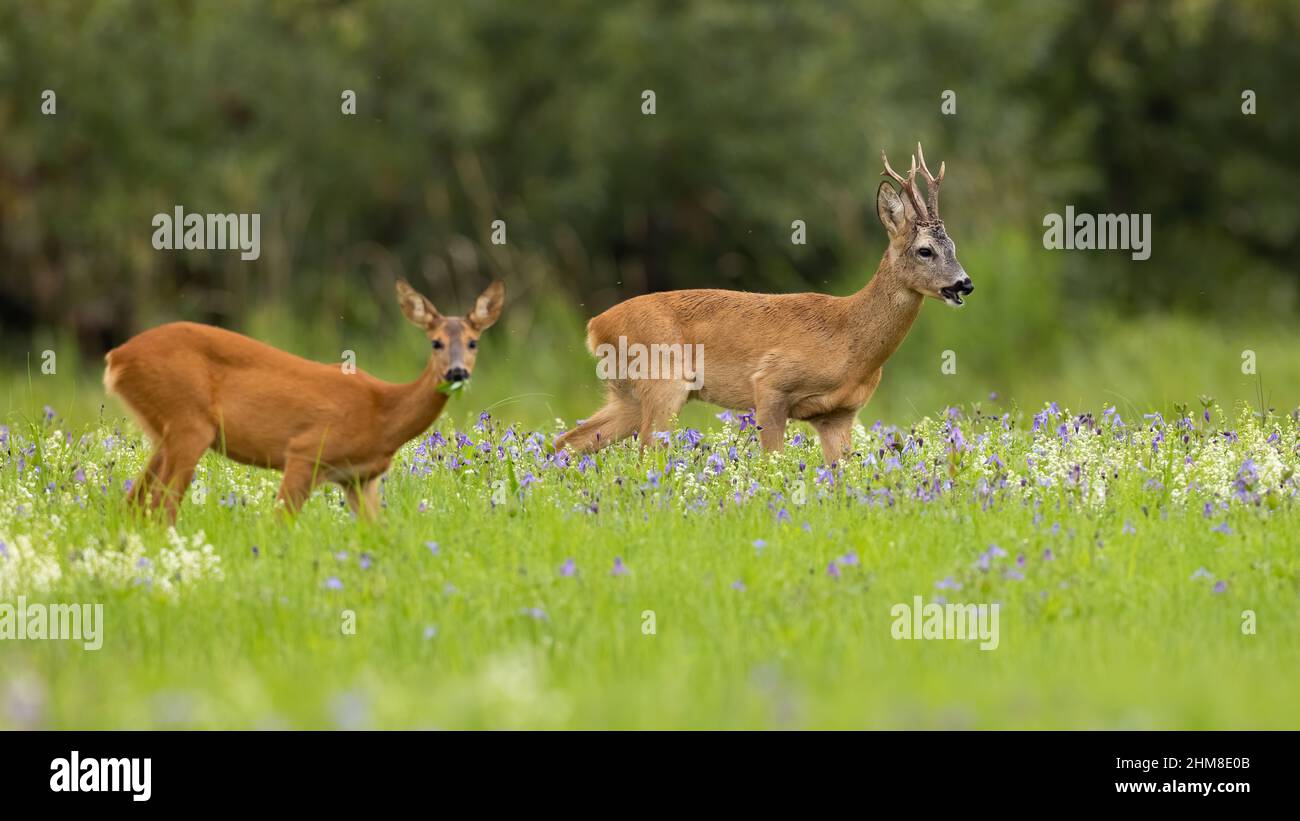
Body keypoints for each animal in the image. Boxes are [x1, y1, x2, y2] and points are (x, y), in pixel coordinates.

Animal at [103, 279, 505, 522]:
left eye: (473, 342)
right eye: (435, 342)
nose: (456, 372)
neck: (383, 414)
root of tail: (116, 357)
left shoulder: (360, 479)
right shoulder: (305, 451)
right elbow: (280, 521)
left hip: (164, 432)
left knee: (133, 504)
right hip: (189, 423)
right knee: (162, 509)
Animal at [555, 143, 972, 464]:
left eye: (953, 246)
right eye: (925, 250)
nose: (964, 284)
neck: (850, 340)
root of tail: (595, 325)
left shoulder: (839, 414)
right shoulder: (771, 385)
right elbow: (773, 462)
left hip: (627, 394)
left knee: (567, 442)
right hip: (663, 381)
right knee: (645, 453)